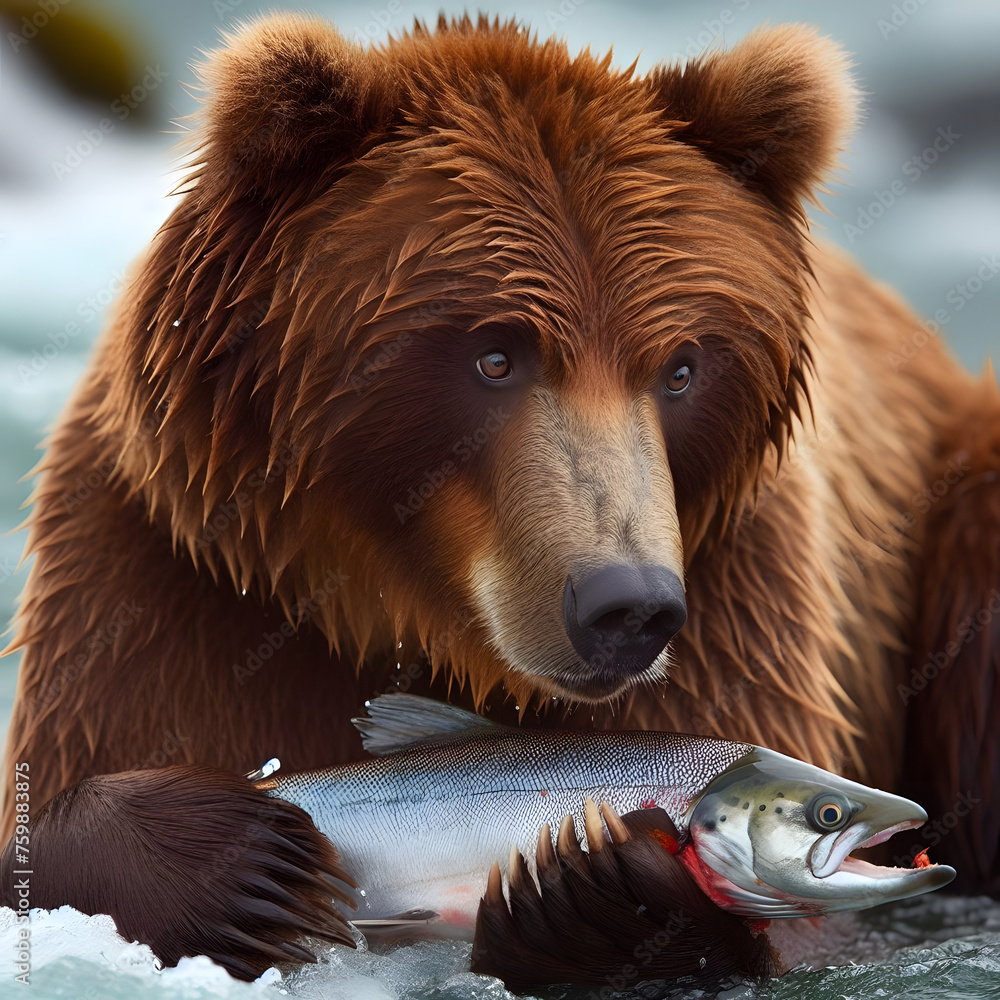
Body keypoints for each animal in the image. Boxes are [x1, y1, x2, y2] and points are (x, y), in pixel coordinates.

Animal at [2, 12, 998, 986]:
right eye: (493, 356)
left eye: (683, 366)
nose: (627, 606)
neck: (417, 617)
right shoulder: (173, 576)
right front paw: (236, 856)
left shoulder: (742, 594)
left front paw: (601, 892)